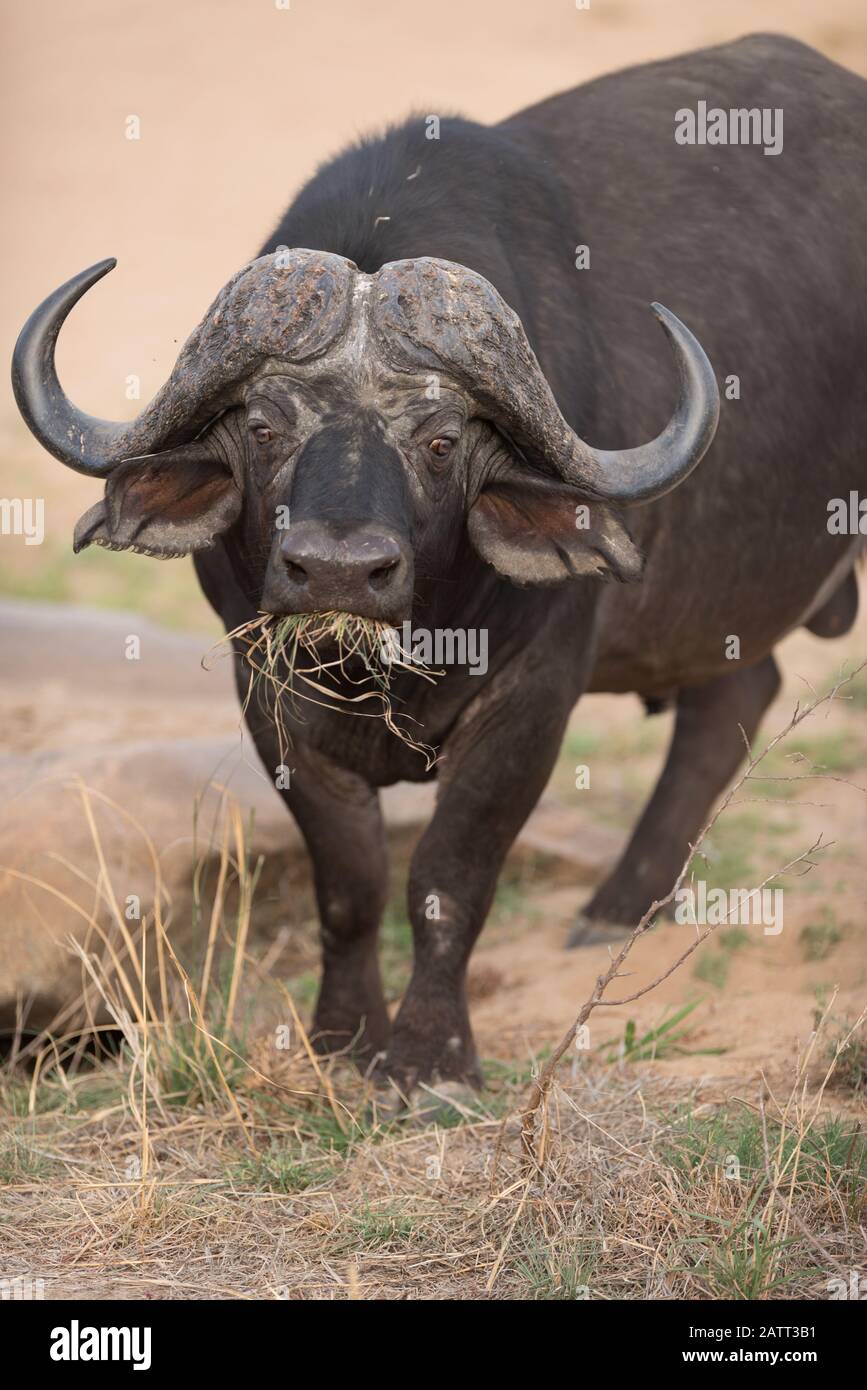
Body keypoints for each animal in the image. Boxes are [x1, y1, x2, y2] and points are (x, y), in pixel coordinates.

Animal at [12, 35, 866, 1094]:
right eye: (263, 427)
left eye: (442, 439)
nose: (338, 571)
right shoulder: (264, 688)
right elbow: (351, 881)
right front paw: (343, 1038)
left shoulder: (533, 696)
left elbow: (448, 876)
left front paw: (429, 1058)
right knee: (734, 696)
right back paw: (618, 909)